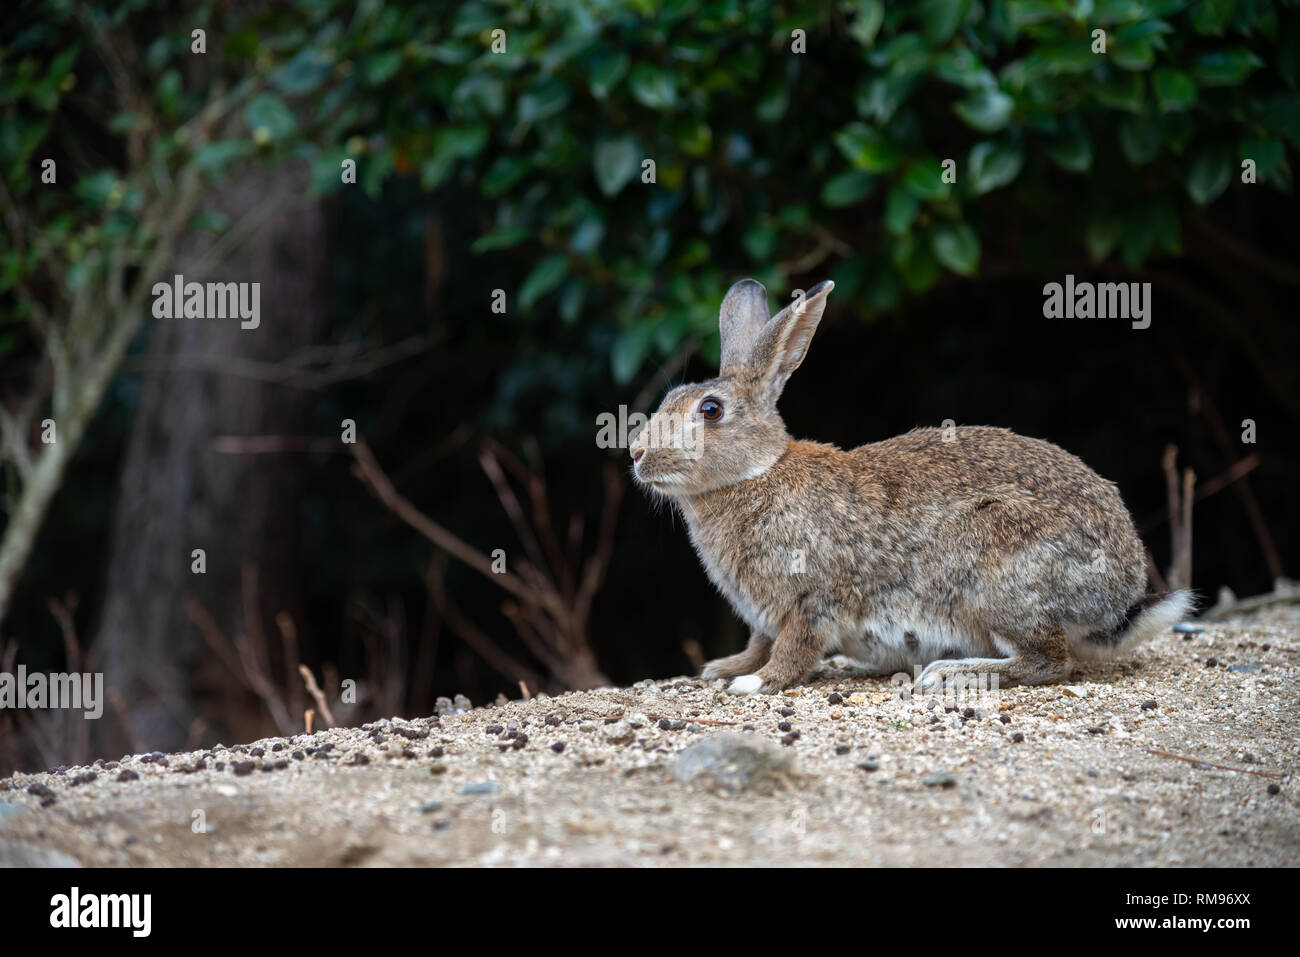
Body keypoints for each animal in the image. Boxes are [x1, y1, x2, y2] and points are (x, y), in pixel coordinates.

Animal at [629, 278, 1193, 694]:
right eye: (672, 397)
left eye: (710, 410)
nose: (635, 452)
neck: (758, 471)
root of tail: (1120, 595)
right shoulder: (762, 617)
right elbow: (757, 643)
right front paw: (724, 669)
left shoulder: (811, 601)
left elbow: (792, 650)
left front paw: (753, 684)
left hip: (999, 567)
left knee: (1049, 660)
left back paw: (951, 673)